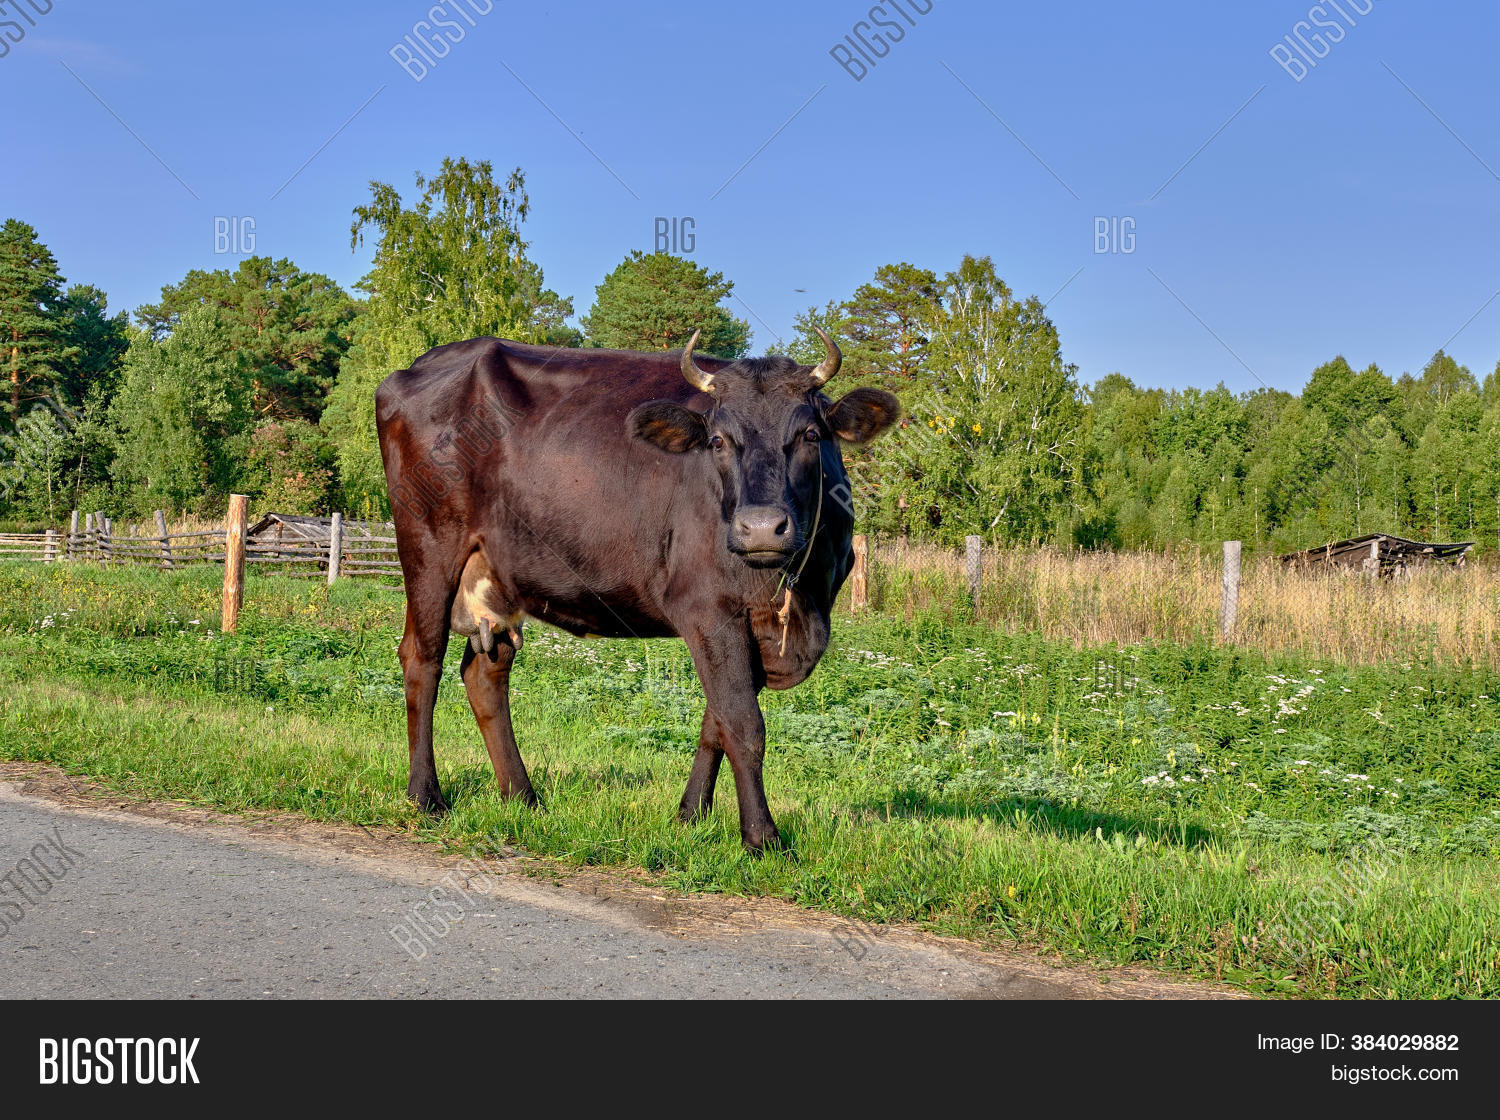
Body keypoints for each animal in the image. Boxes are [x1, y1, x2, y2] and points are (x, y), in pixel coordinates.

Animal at [375, 329, 899, 850]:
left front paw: (691, 816)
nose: (761, 527)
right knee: (423, 658)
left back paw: (523, 797)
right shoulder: (708, 610)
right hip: (428, 547)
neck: (794, 595)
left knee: (486, 675)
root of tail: (426, 361)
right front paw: (762, 838)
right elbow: (743, 724)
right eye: (717, 441)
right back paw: (426, 796)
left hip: (499, 576)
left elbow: (716, 723)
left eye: (810, 435)